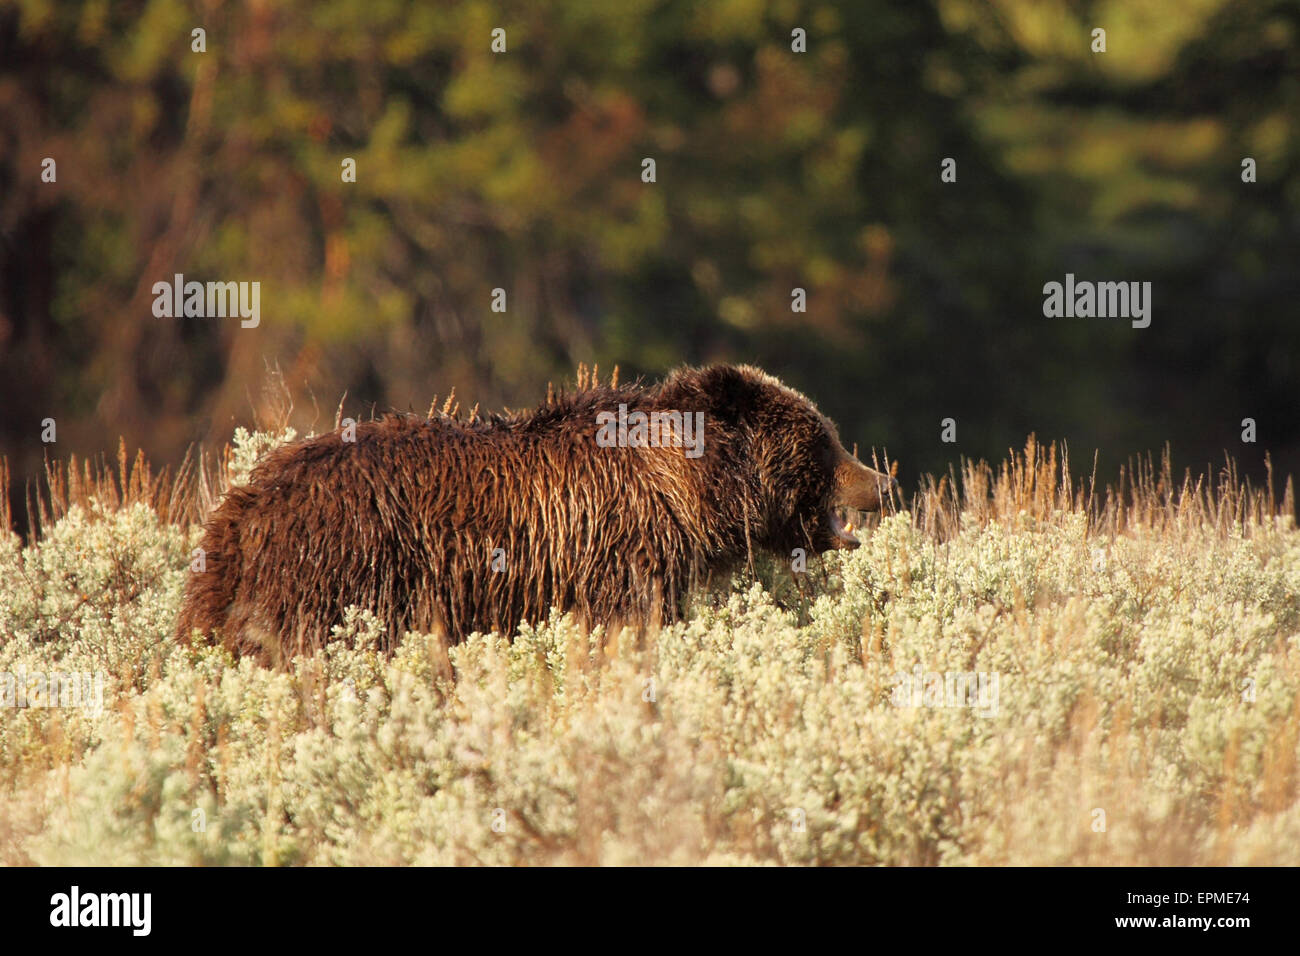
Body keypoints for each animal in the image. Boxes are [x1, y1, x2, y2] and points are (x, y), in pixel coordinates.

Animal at [176, 364, 898, 664]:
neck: (683, 488)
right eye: (824, 440)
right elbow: (625, 622)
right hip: (338, 568)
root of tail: (235, 515)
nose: (882, 481)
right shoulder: (616, 551)